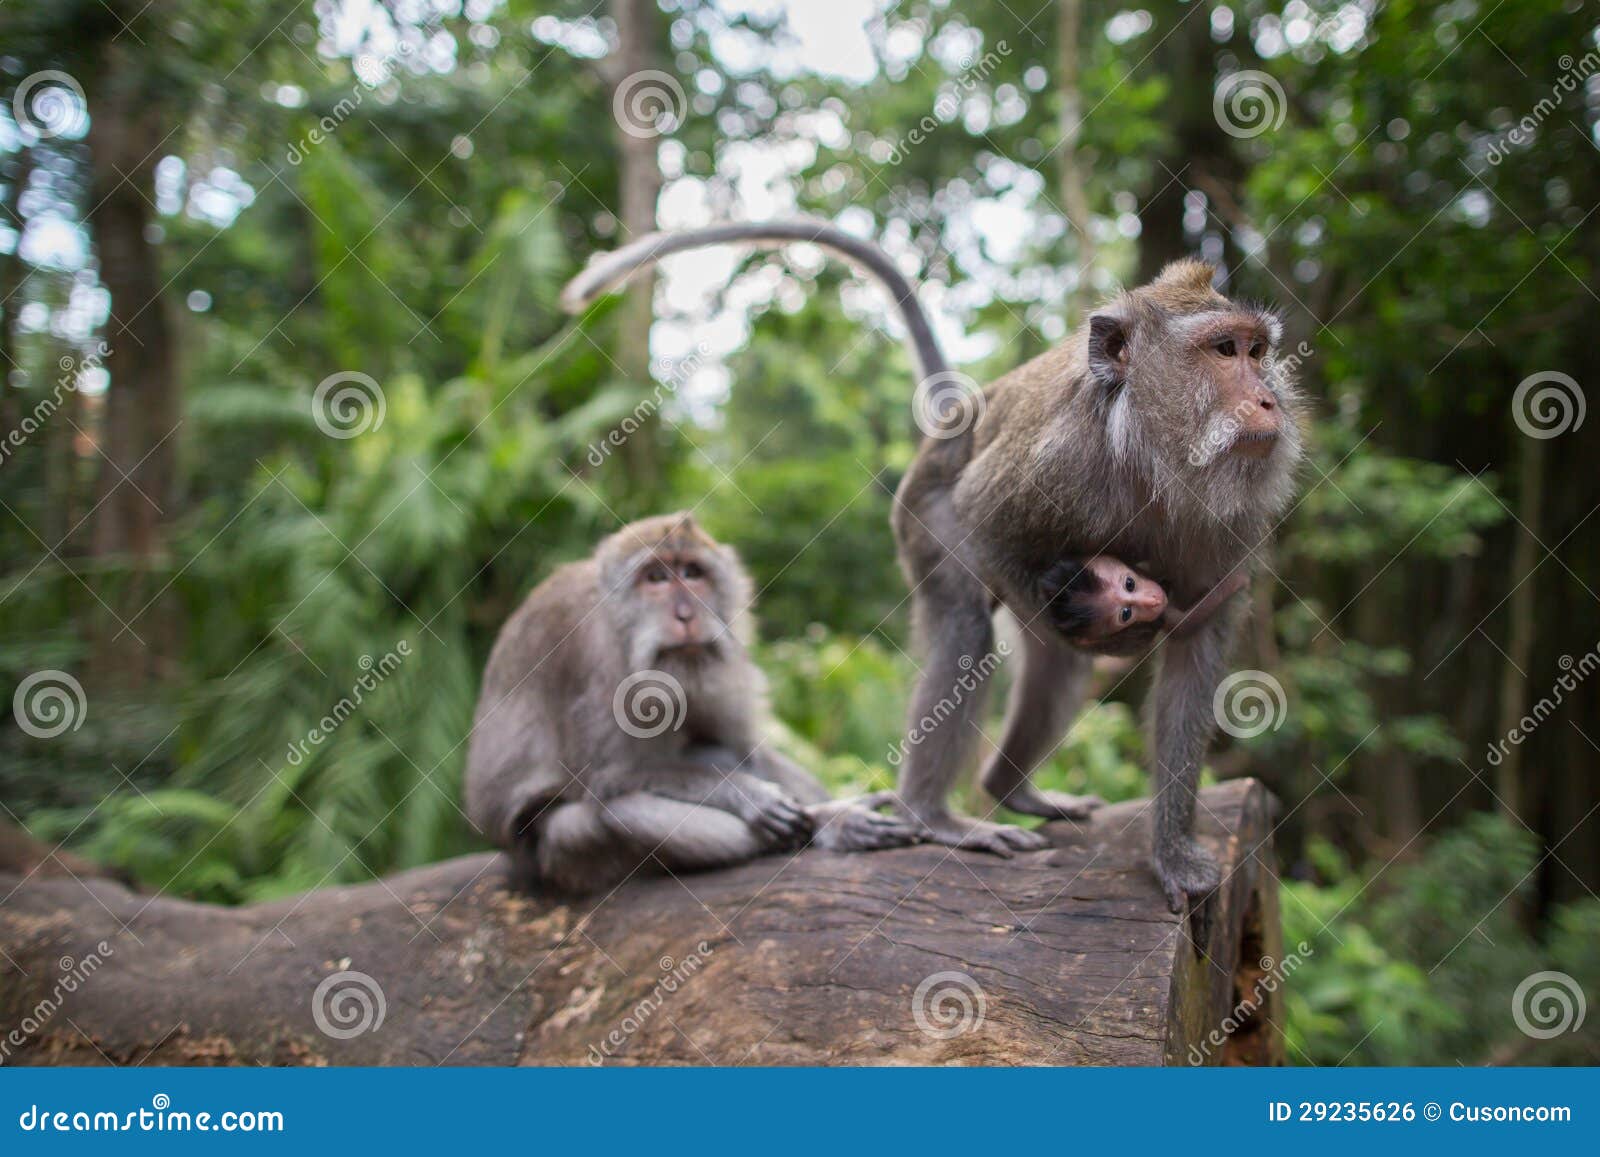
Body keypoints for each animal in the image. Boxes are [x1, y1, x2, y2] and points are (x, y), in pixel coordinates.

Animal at [464, 512, 919, 894]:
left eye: (692, 573)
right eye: (655, 578)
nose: (685, 615)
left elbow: (742, 747)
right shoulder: (594, 662)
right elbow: (609, 778)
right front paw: (746, 793)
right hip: (559, 860)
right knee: (616, 814)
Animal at [1043, 557, 1250, 654]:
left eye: (1130, 583)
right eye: (1126, 614)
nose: (1154, 601)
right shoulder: (1161, 616)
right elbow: (1184, 626)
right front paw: (1237, 581)